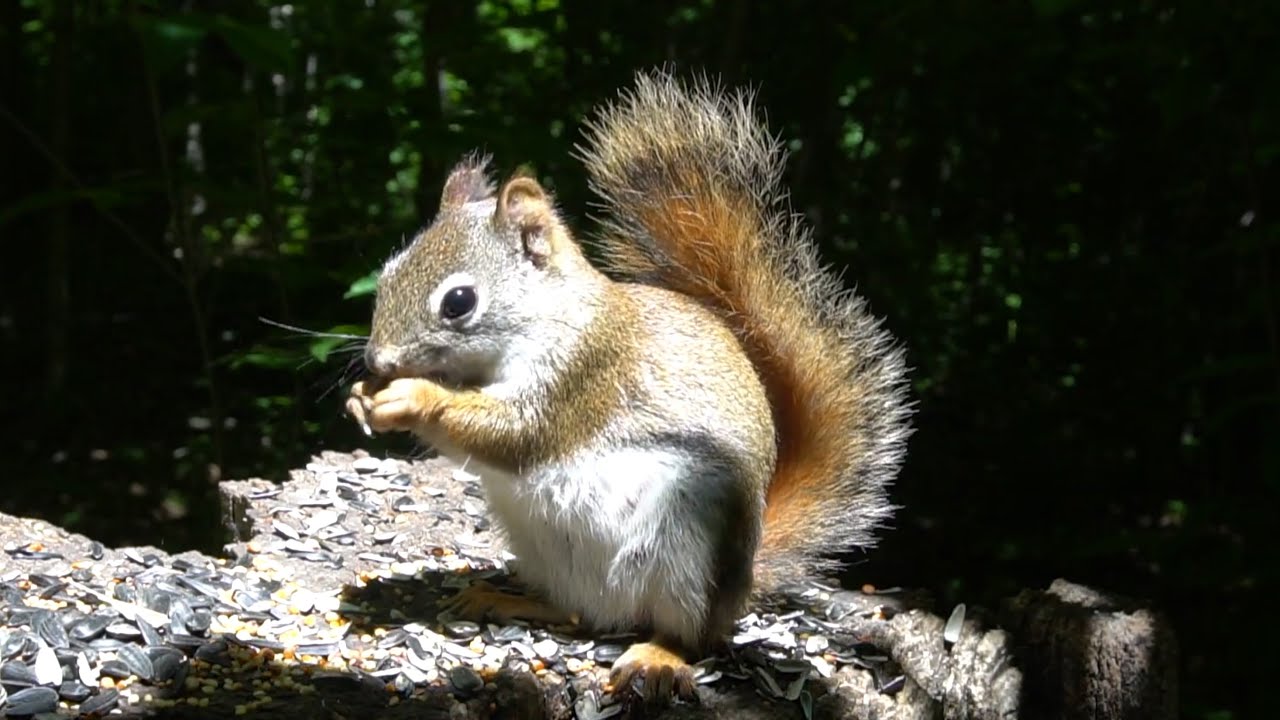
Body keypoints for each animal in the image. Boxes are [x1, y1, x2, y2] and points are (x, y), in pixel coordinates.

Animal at [346, 70, 912, 702]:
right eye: (388, 272)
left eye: (459, 302)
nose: (377, 359)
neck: (549, 317)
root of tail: (739, 589)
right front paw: (362, 397)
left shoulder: (584, 372)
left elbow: (516, 433)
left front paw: (411, 398)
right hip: (548, 552)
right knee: (581, 614)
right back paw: (506, 598)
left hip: (688, 542)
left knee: (686, 633)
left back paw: (659, 658)